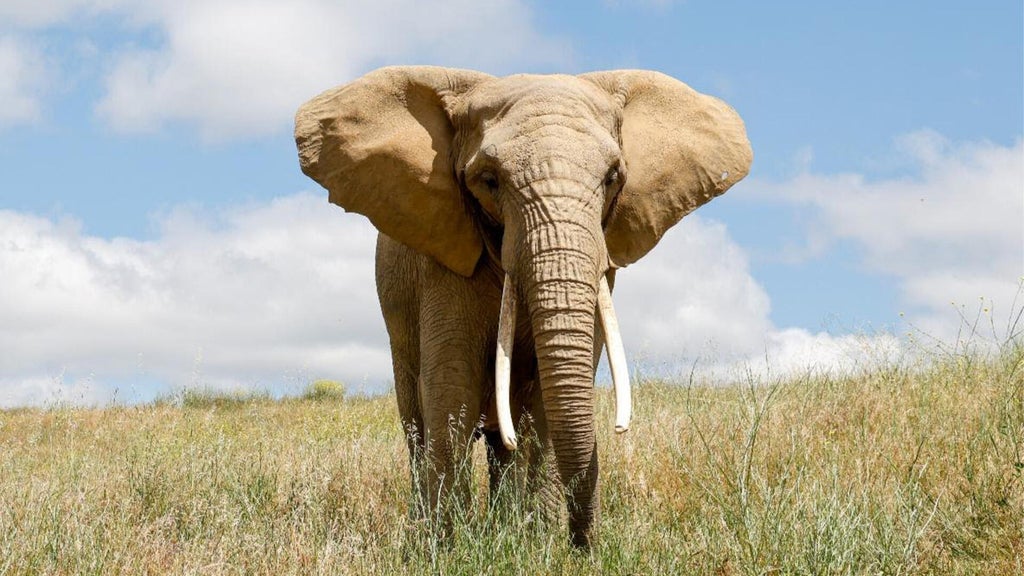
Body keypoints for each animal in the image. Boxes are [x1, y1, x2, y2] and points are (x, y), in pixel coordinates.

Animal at [294, 66, 751, 548]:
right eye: (489, 180)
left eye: (612, 177)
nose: (584, 546)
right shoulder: (440, 261)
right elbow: (451, 385)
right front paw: (448, 549)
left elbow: (546, 402)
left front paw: (537, 542)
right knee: (418, 423)